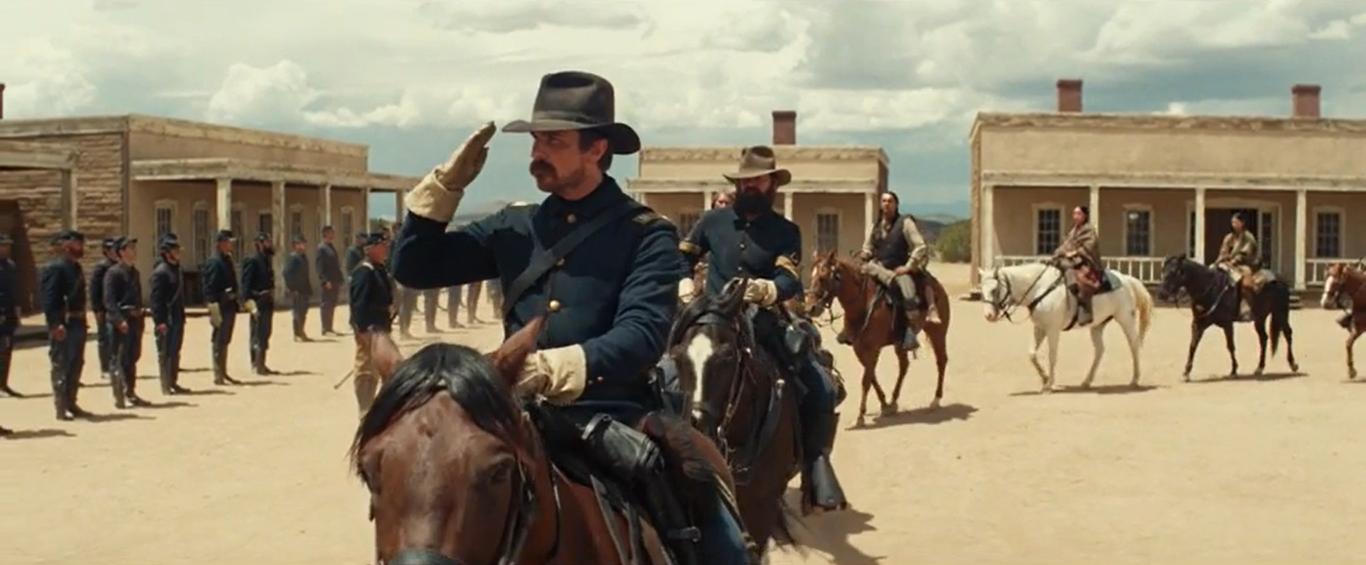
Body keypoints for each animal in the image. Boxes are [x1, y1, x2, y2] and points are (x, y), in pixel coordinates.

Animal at [797, 252, 950, 428]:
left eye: (823, 277)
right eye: (811, 276)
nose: (810, 308)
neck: (863, 304)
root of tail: (936, 285)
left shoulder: (873, 349)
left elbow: (866, 380)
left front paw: (860, 417)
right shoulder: (860, 349)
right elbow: (872, 377)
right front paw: (884, 405)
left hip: (938, 332)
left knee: (941, 361)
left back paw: (936, 399)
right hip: (900, 341)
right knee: (904, 366)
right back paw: (893, 401)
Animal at [983, 262, 1152, 390]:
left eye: (994, 289)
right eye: (982, 288)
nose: (988, 316)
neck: (1040, 289)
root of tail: (1126, 279)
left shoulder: (1052, 330)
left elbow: (1052, 356)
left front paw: (1050, 384)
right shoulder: (1039, 328)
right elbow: (1032, 354)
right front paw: (1045, 378)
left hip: (1125, 319)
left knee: (1134, 345)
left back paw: (1135, 380)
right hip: (1097, 325)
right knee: (1099, 350)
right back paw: (1086, 381)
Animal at [1158, 256, 1294, 379]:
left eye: (1173, 272)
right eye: (1163, 271)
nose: (1161, 294)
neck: (1210, 289)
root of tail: (1279, 278)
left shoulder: (1227, 324)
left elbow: (1230, 346)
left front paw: (1234, 370)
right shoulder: (1198, 324)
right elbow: (1193, 345)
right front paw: (1186, 372)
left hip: (1281, 312)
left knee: (1287, 333)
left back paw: (1293, 364)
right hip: (1260, 318)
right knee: (1264, 339)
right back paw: (1259, 368)